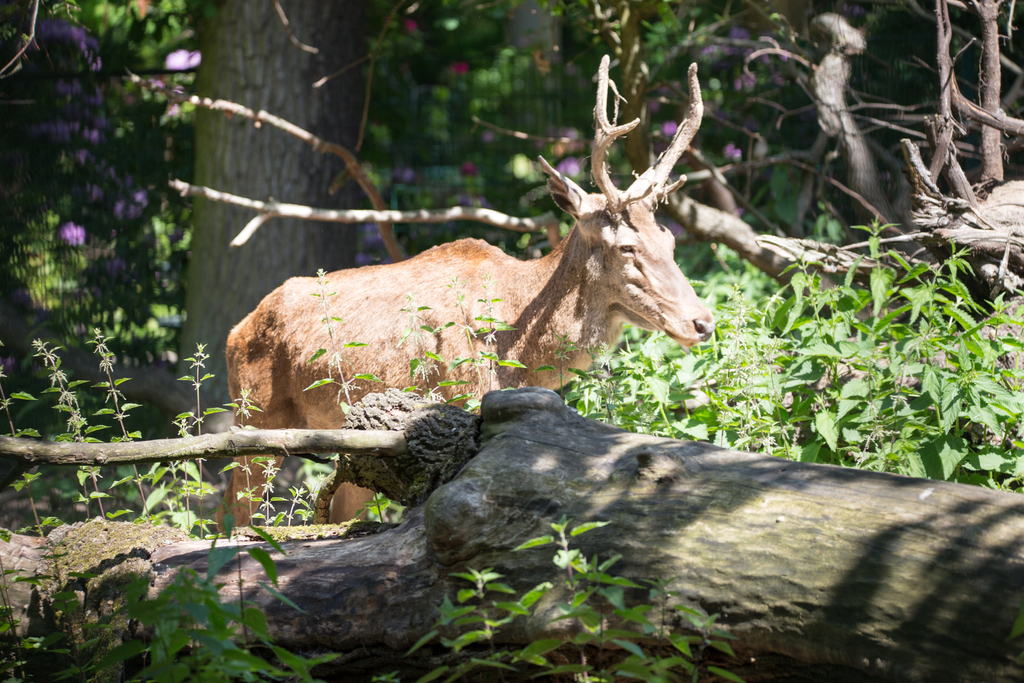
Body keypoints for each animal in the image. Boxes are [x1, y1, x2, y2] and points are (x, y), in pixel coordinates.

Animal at [219, 55, 714, 527]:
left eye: (669, 239)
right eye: (626, 246)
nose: (703, 321)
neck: (520, 347)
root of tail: (235, 330)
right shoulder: (460, 395)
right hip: (254, 413)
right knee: (234, 501)